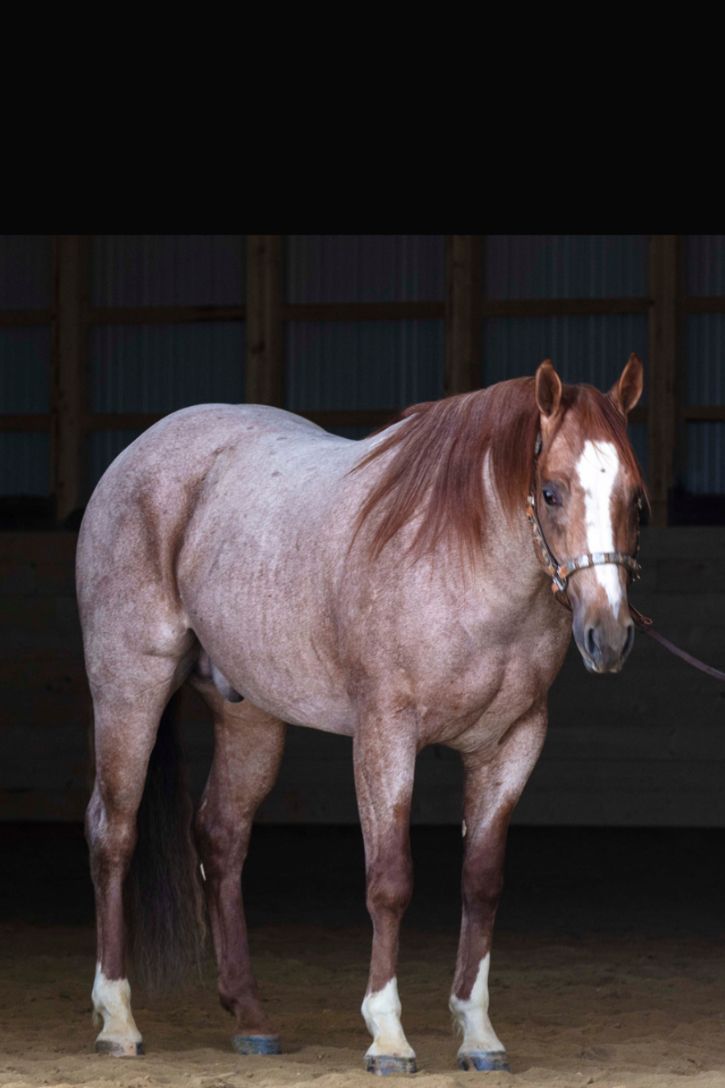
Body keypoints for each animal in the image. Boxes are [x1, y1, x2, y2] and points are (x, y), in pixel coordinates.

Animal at [77, 355, 645, 1074]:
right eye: (549, 491)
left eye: (636, 500)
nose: (609, 636)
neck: (460, 560)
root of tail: (133, 457)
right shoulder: (384, 732)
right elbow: (390, 879)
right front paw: (387, 1036)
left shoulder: (512, 744)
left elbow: (481, 882)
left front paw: (478, 1034)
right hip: (130, 684)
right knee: (113, 832)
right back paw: (117, 1020)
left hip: (249, 716)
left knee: (222, 836)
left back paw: (251, 1017)